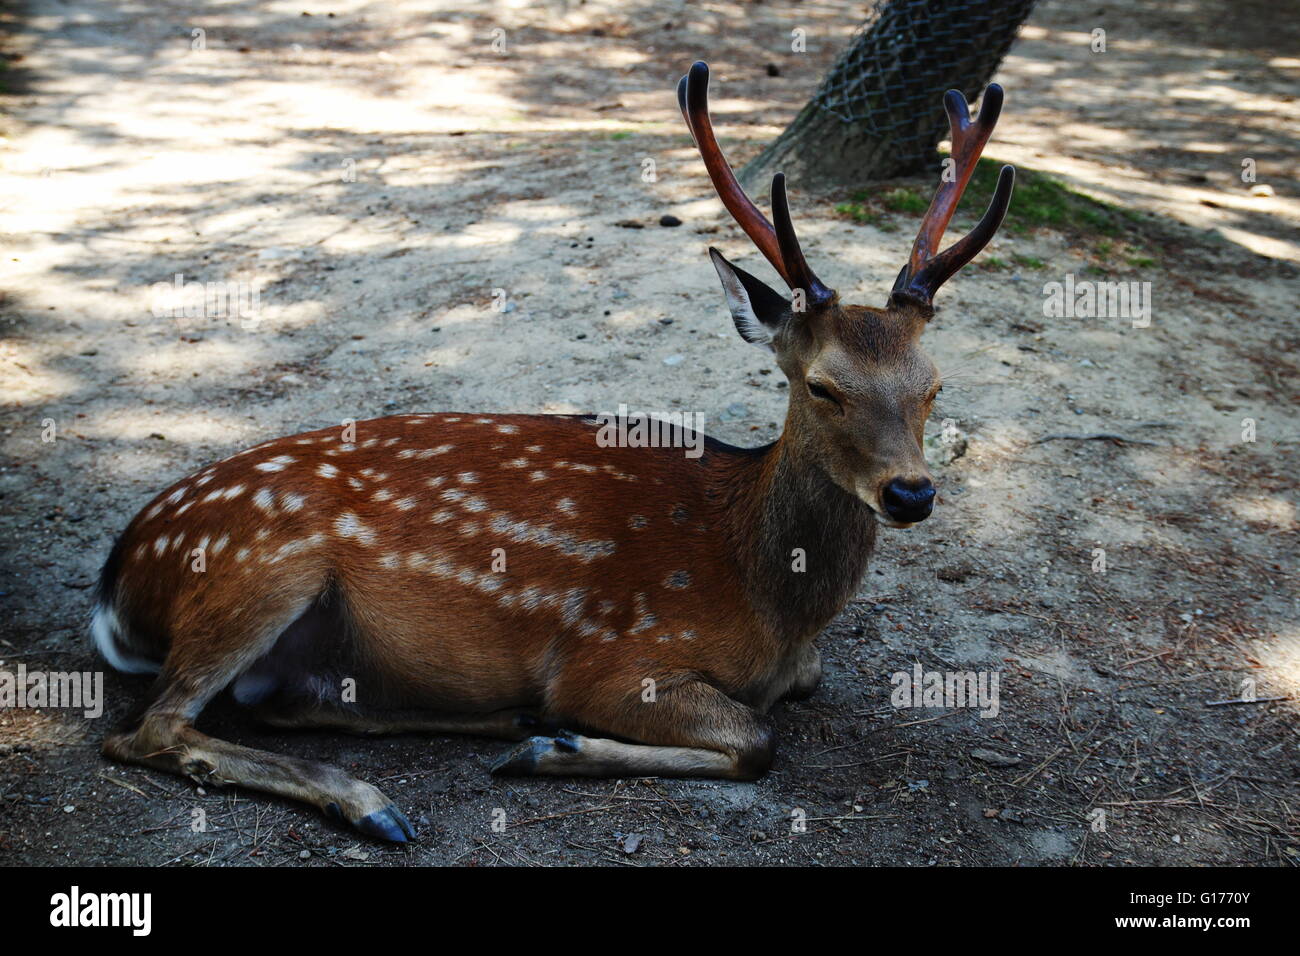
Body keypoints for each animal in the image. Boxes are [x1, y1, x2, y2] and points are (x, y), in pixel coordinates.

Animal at [91, 61, 1014, 843]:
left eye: (935, 383)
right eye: (822, 386)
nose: (911, 493)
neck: (768, 599)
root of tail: (116, 579)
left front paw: (545, 738)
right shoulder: (616, 655)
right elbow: (758, 738)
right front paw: (559, 746)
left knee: (275, 702)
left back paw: (502, 723)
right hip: (261, 564)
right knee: (148, 729)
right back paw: (378, 799)